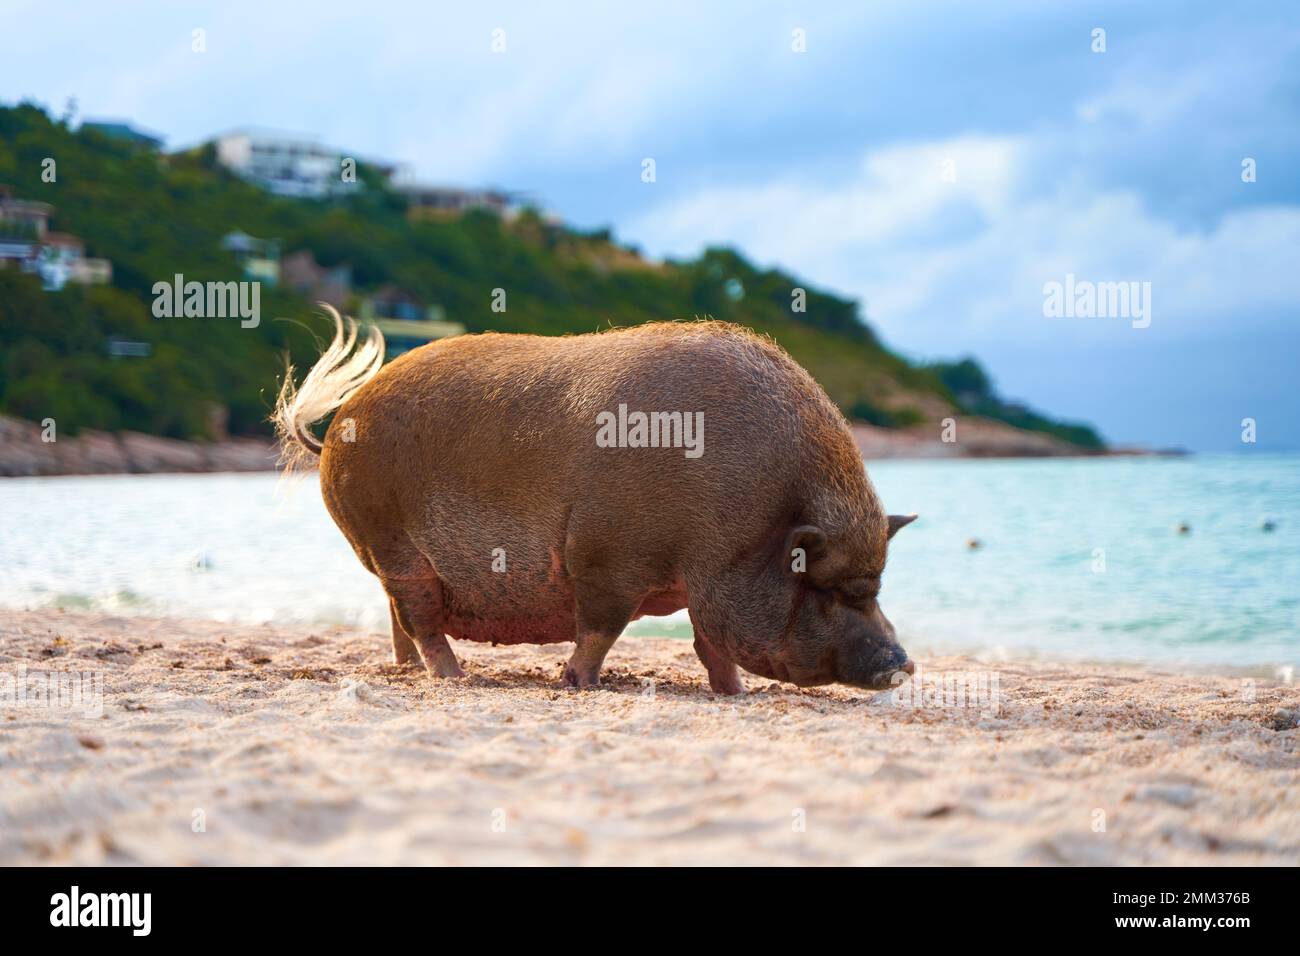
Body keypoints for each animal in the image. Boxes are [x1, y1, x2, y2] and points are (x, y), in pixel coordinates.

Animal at [273, 308, 917, 694]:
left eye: (875, 588)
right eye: (824, 588)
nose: (904, 664)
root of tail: (336, 424)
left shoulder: (698, 581)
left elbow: (710, 642)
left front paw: (735, 693)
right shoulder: (606, 556)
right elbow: (602, 628)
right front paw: (576, 683)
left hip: (387, 553)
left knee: (396, 615)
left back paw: (410, 671)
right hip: (389, 538)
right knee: (419, 617)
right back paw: (460, 679)